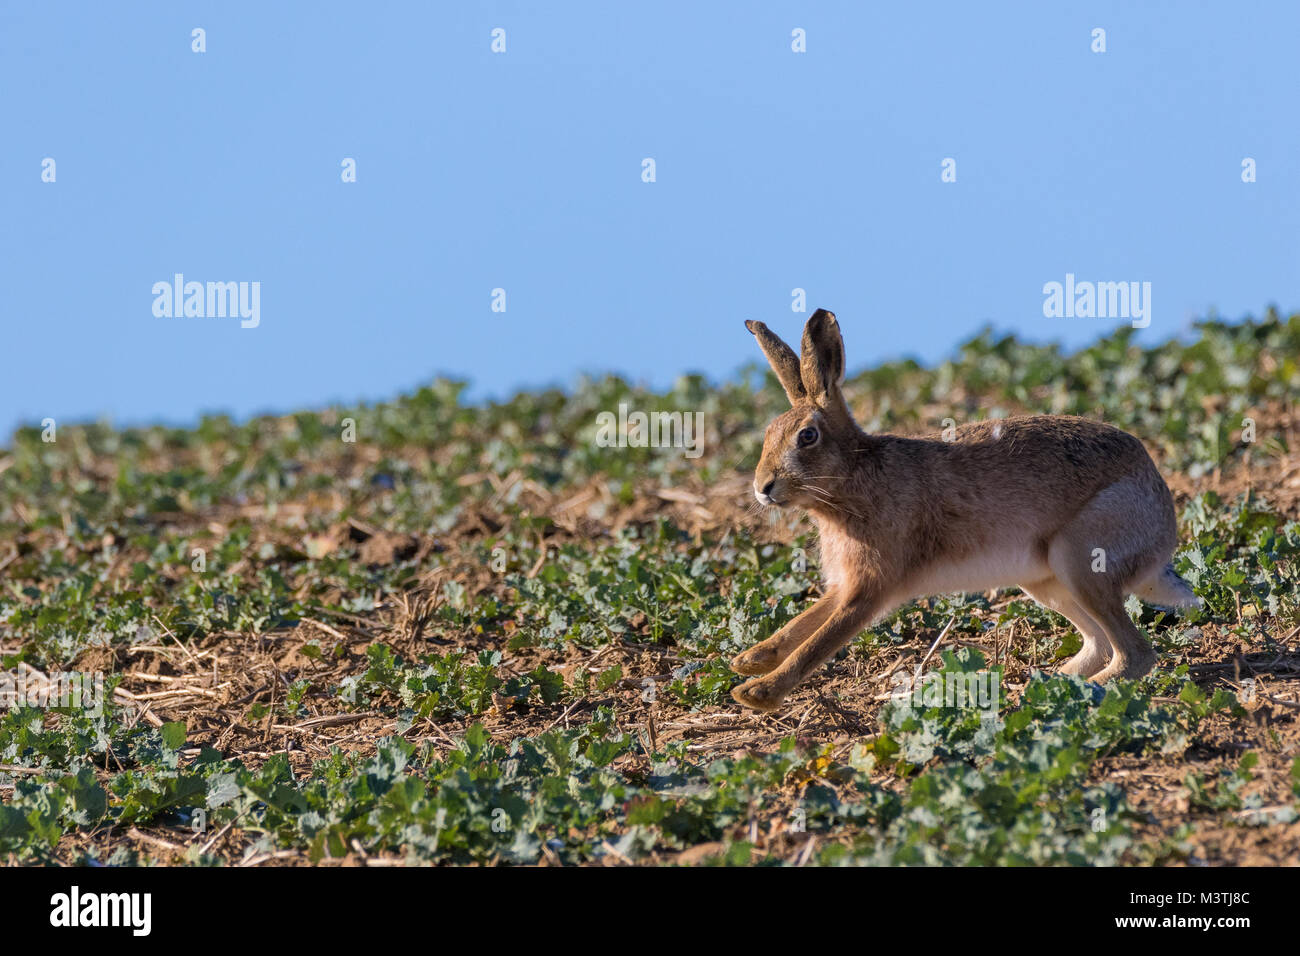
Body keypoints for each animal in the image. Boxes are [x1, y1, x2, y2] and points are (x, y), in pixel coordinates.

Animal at [730, 309, 1200, 713]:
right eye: (768, 433)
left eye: (807, 437)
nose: (763, 487)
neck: (854, 477)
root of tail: (1163, 527)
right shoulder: (846, 582)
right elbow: (804, 621)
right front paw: (751, 659)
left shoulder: (870, 588)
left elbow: (820, 641)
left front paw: (756, 692)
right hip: (1045, 580)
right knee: (1099, 643)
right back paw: (1044, 685)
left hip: (1083, 557)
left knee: (1135, 654)